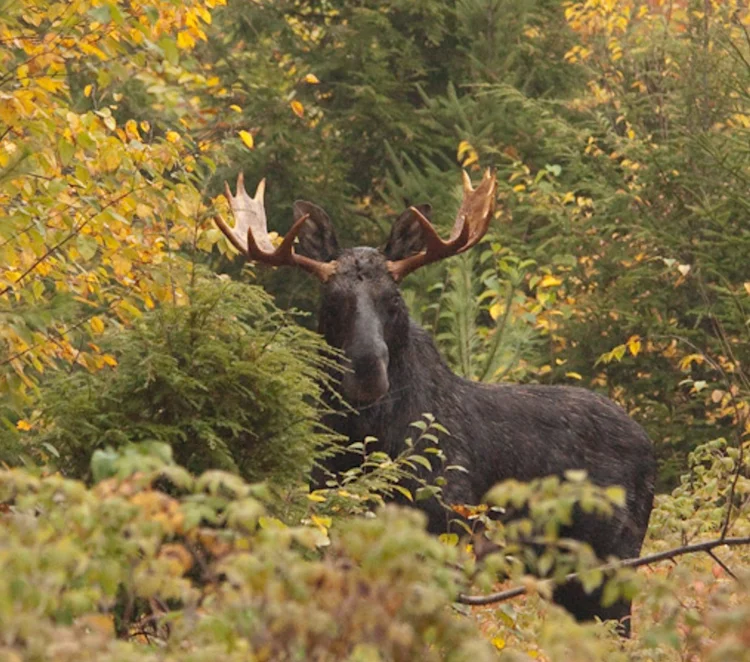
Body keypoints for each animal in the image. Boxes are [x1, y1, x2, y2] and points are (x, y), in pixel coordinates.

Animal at [214, 170, 656, 635]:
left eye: (393, 299)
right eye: (332, 301)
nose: (367, 370)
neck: (370, 440)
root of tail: (651, 449)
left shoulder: (451, 524)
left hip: (613, 560)